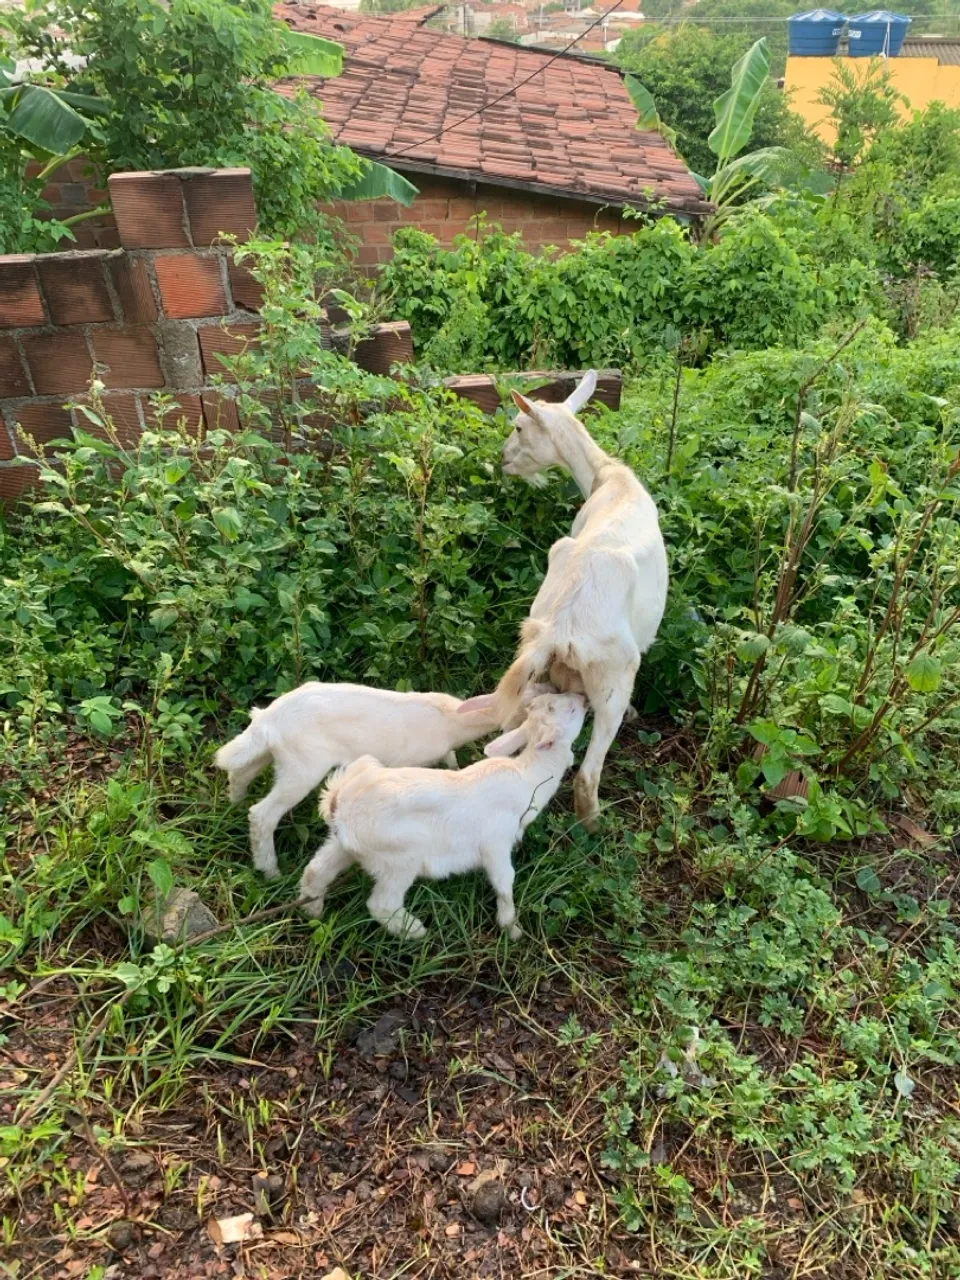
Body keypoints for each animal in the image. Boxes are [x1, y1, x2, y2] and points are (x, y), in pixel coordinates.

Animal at [215, 682, 514, 879]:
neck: (450, 719)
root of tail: (268, 718)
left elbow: (450, 760)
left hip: (274, 754)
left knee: (240, 769)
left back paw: (234, 804)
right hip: (302, 767)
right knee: (262, 813)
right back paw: (271, 870)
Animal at [299, 692, 587, 939]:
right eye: (571, 710)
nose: (584, 698)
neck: (529, 778)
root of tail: (338, 802)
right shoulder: (496, 844)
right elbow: (505, 882)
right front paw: (511, 928)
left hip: (343, 846)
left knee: (316, 870)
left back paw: (312, 910)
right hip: (400, 859)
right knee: (381, 903)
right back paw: (414, 930)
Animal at [458, 371, 668, 831]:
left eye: (519, 427)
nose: (502, 458)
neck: (609, 478)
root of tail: (560, 629)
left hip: (541, 672)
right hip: (612, 673)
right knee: (587, 775)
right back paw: (595, 826)